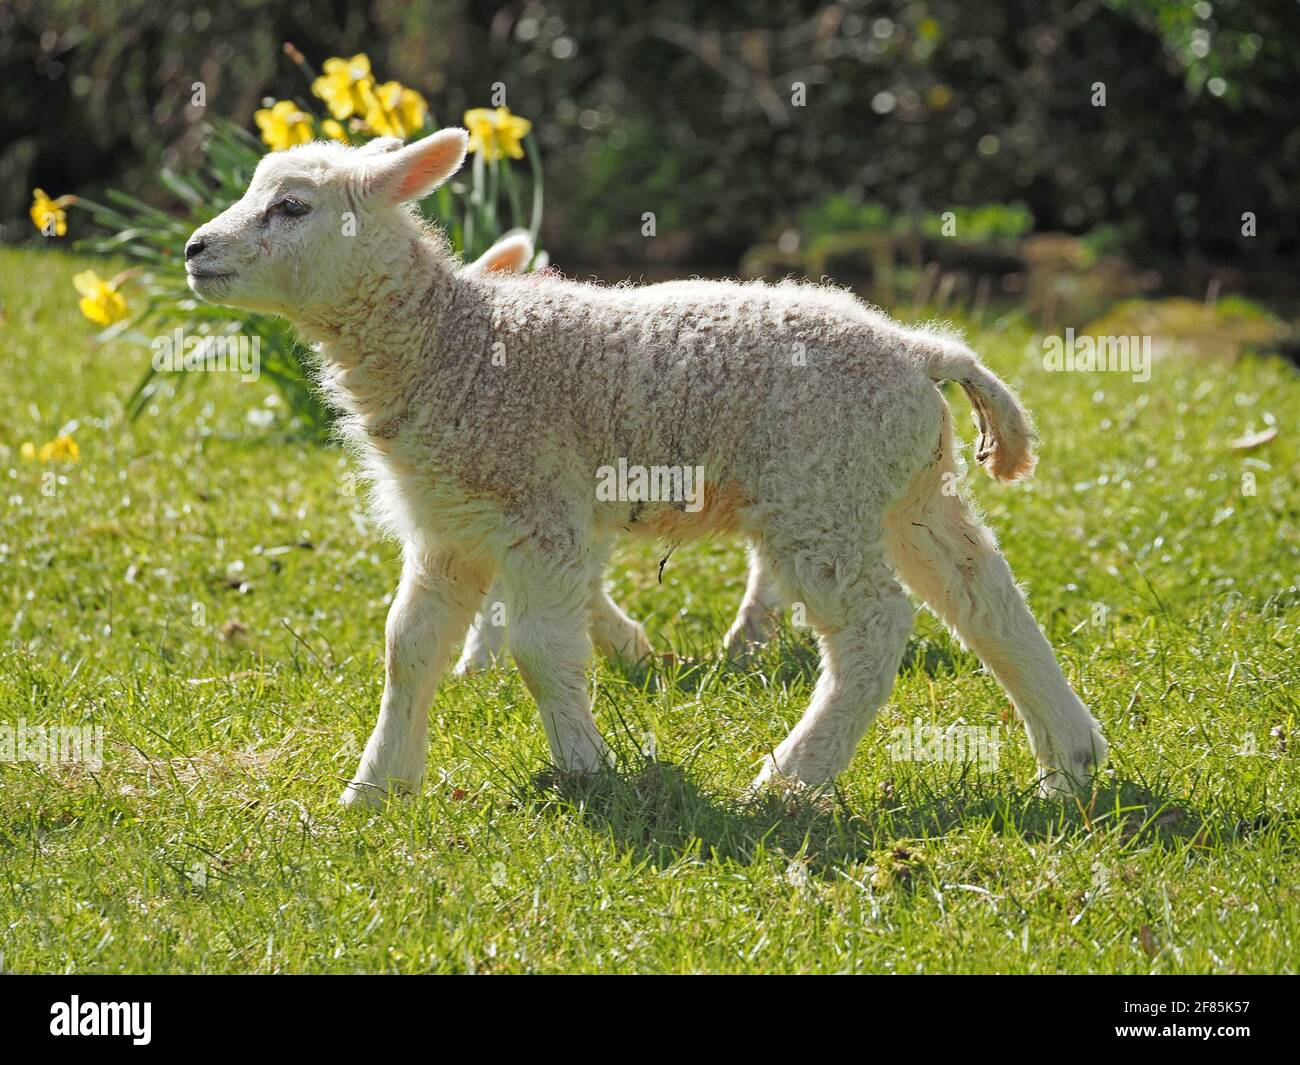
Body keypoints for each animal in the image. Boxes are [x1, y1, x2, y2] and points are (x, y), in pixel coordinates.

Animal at [184, 129, 1108, 807]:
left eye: (291, 206)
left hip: (820, 492)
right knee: (986, 600)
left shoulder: (538, 510)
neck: (454, 342)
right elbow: (407, 646)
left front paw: (586, 766)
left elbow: (541, 649)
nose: (195, 248)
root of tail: (921, 351)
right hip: (905, 488)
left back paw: (787, 780)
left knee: (875, 627)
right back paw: (1069, 762)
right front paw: (376, 789)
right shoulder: (452, 524)